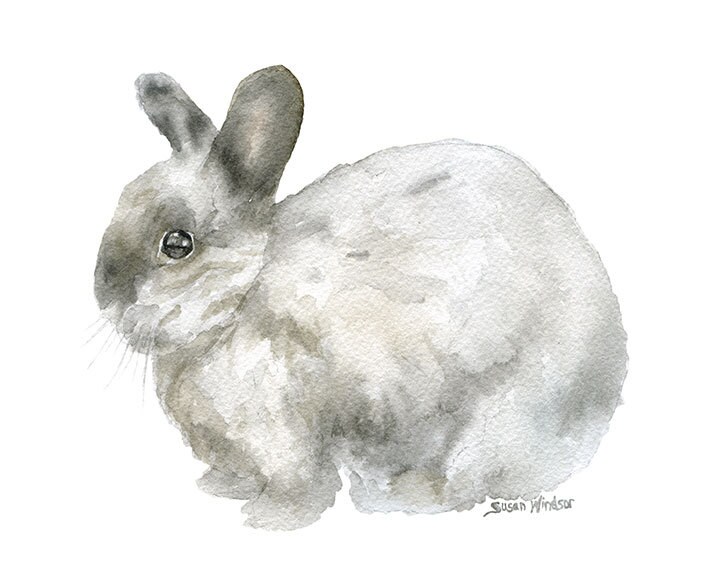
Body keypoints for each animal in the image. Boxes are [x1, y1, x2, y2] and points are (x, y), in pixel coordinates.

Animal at [94, 65, 627, 530]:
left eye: (177, 244)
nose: (103, 293)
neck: (239, 302)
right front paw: (221, 486)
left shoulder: (289, 434)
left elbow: (301, 485)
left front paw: (271, 520)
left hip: (494, 424)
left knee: (466, 485)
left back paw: (401, 496)